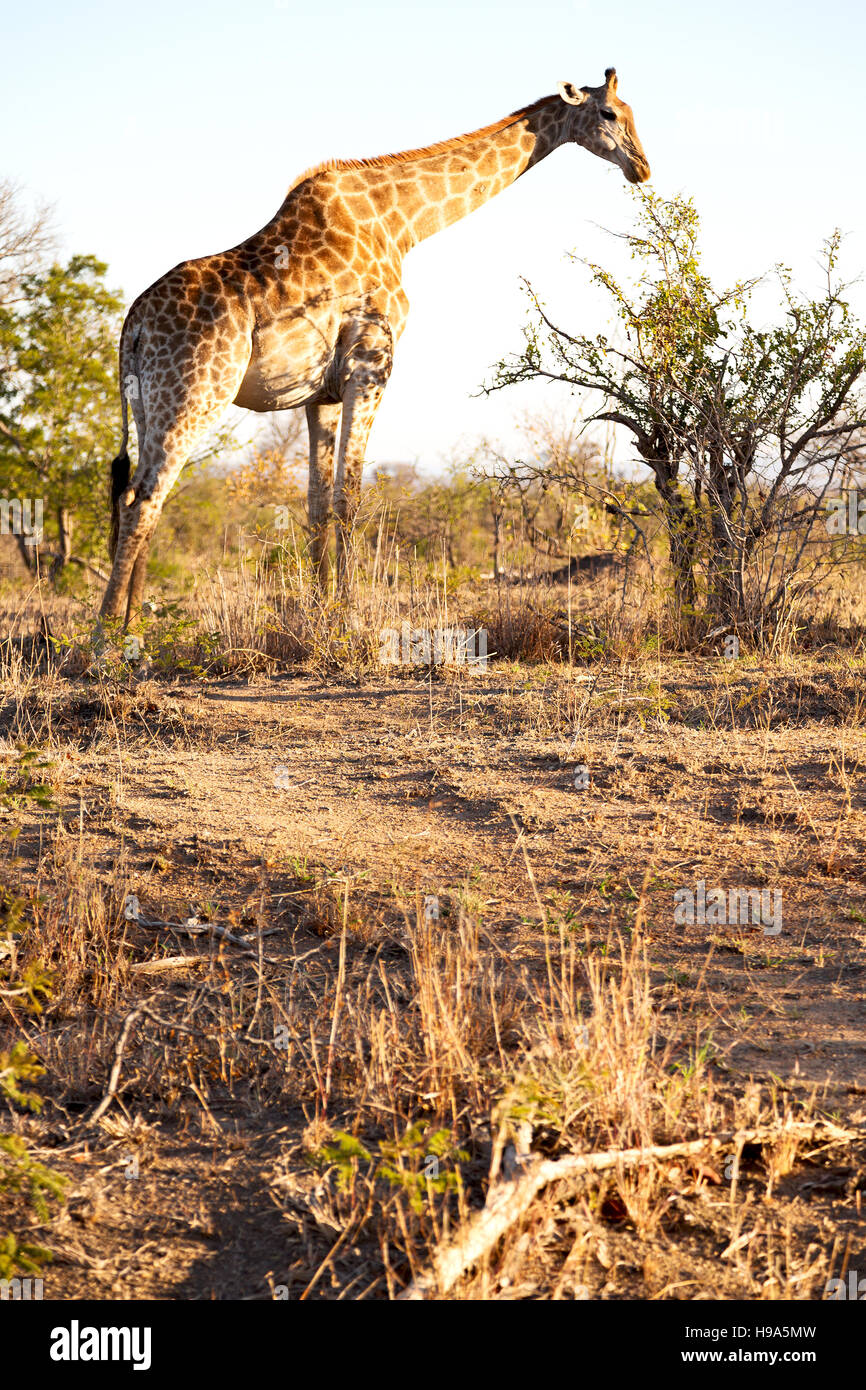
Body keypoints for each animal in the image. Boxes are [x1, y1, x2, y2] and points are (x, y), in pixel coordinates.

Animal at [100, 68, 650, 622]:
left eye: (632, 112)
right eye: (609, 113)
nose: (642, 168)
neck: (401, 225)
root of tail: (133, 323)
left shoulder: (320, 393)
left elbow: (318, 502)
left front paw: (319, 611)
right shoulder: (370, 367)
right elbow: (350, 497)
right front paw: (349, 613)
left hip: (148, 402)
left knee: (134, 494)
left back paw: (135, 624)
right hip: (195, 395)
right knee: (145, 500)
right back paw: (109, 634)